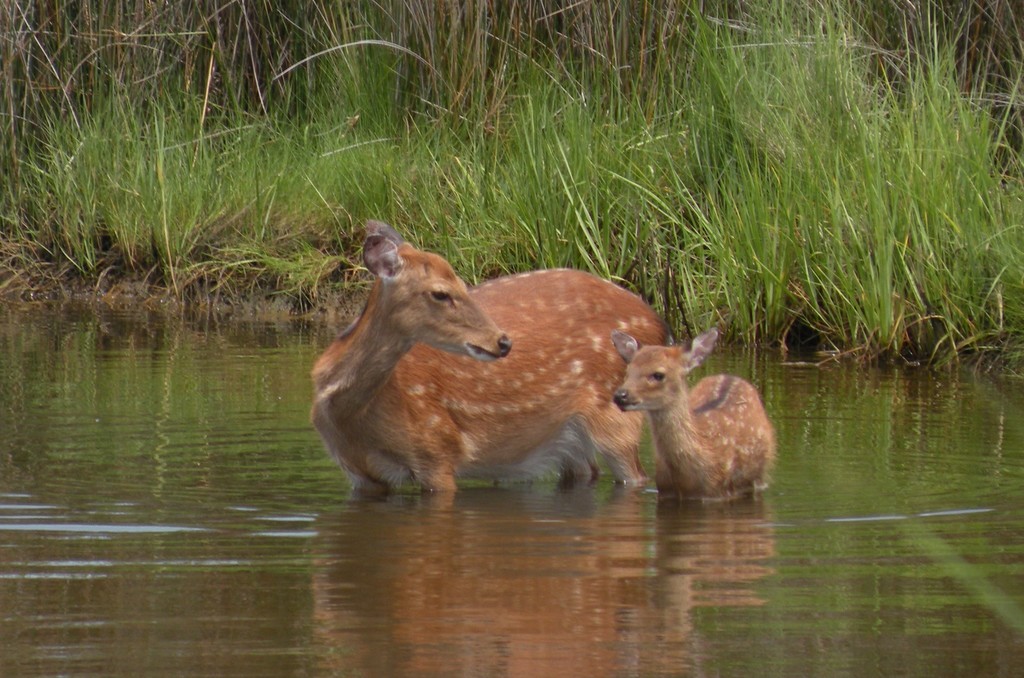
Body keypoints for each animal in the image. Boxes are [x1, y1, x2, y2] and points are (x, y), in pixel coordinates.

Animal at [311, 220, 669, 495]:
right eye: (440, 292)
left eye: (462, 282)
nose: (503, 341)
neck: (353, 418)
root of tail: (655, 321)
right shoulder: (358, 474)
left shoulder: (437, 447)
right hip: (569, 439)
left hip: (617, 416)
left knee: (636, 476)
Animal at [610, 327, 776, 501]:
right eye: (628, 371)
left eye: (658, 375)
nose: (620, 395)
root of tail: (731, 376)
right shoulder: (664, 491)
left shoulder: (718, 493)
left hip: (761, 471)